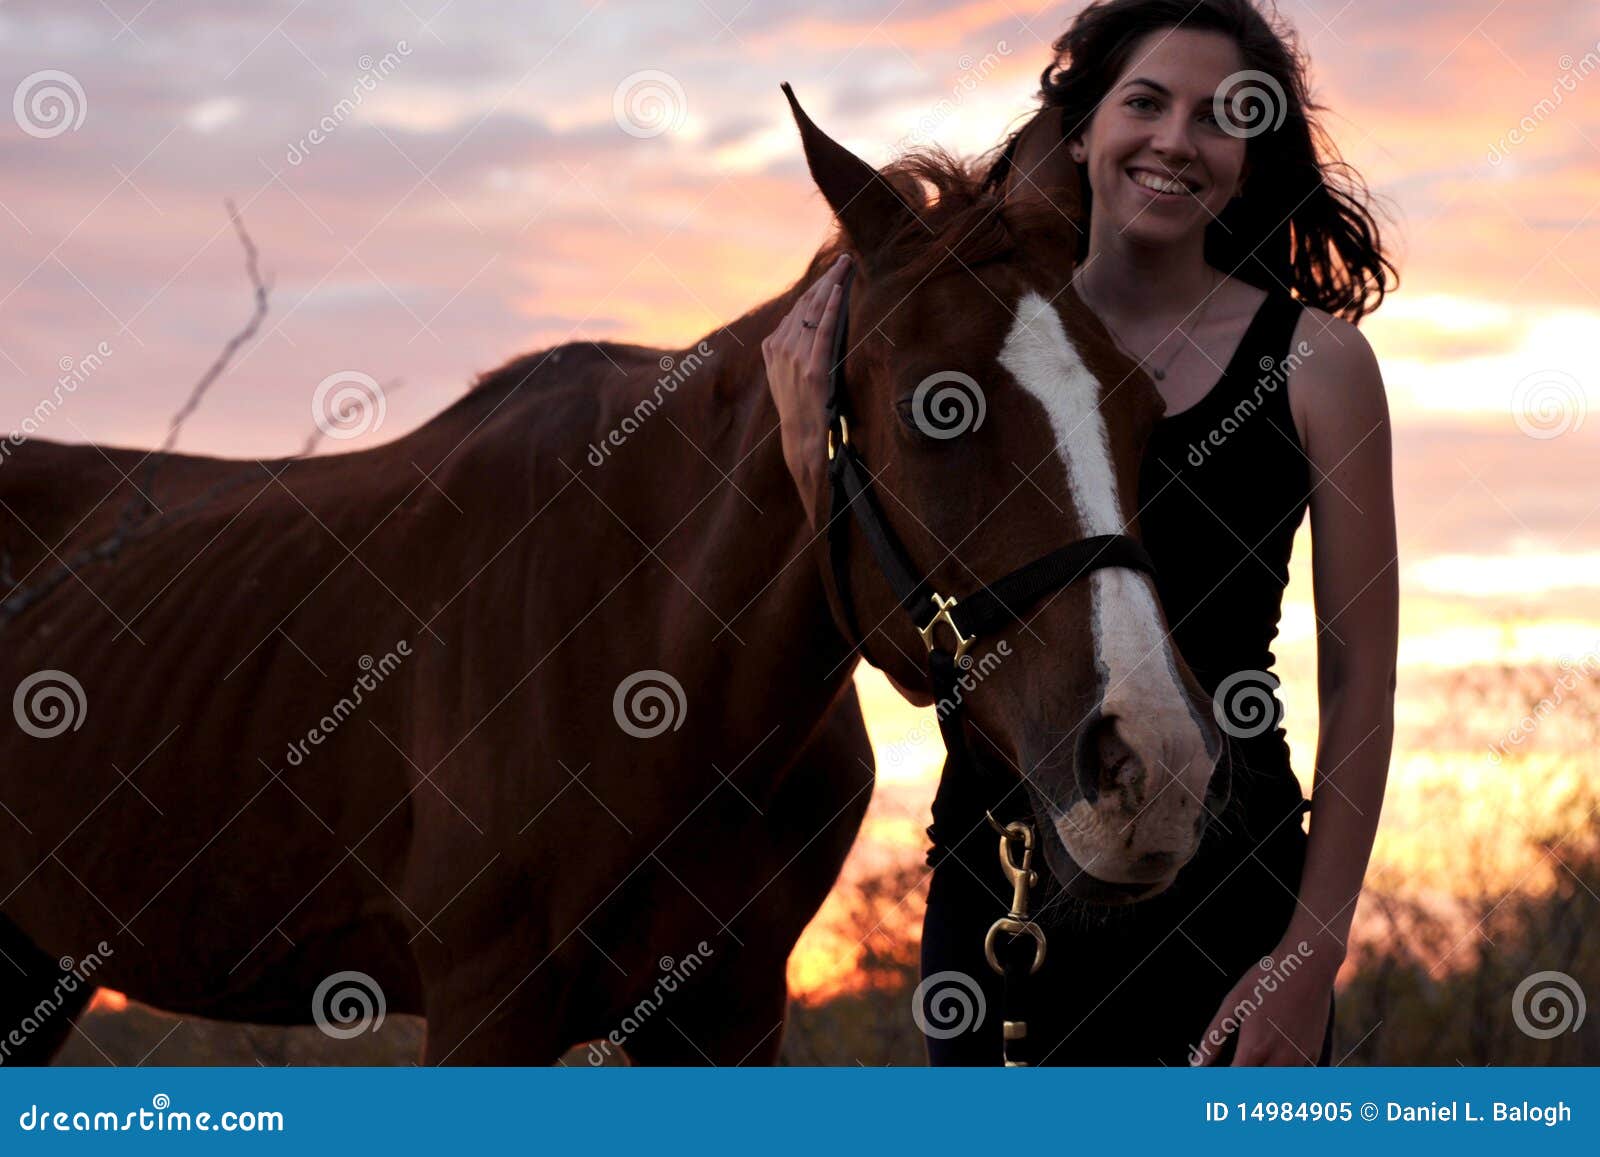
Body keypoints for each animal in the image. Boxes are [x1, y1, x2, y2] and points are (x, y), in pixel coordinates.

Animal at [0, 89, 1223, 1065]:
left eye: (1143, 405)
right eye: (940, 406)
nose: (1153, 768)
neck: (661, 659)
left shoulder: (730, 1009)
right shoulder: (487, 1005)